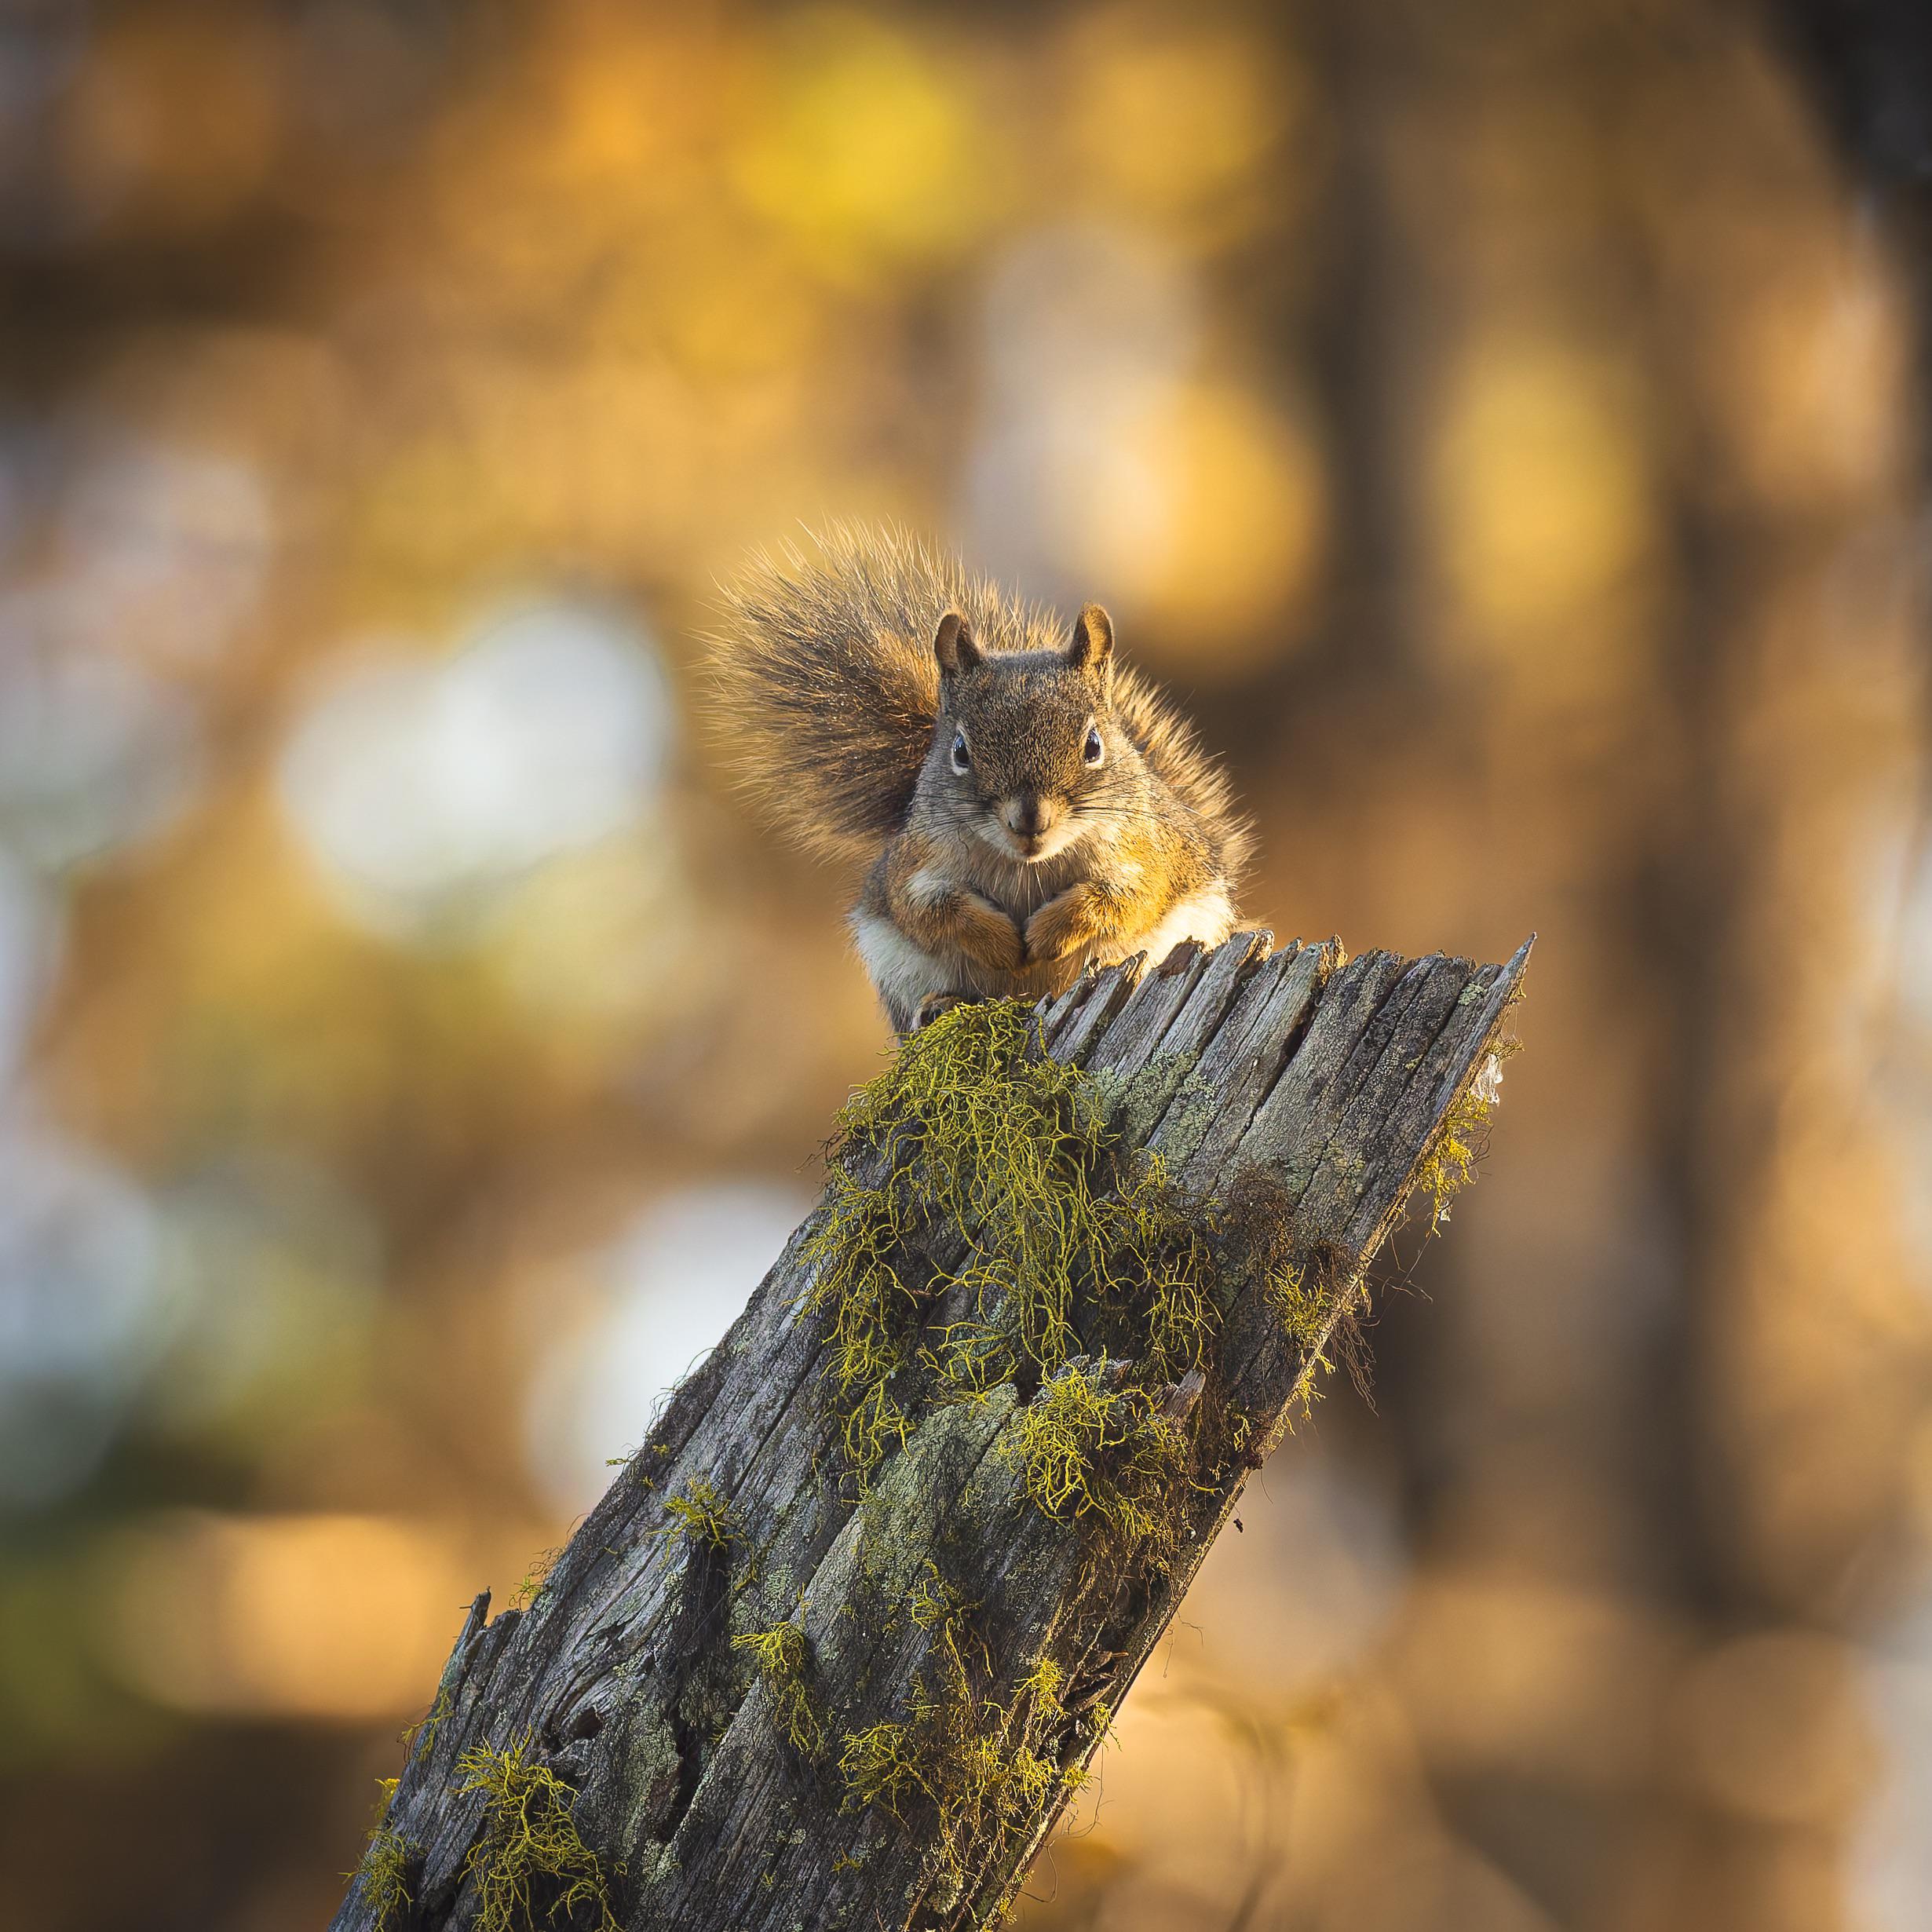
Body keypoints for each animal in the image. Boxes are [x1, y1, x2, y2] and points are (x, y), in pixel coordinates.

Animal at [706, 526, 1252, 1035]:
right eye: (960, 751)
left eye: (1093, 745)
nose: (1030, 820)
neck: (1026, 866)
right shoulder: (916, 866)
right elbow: (931, 910)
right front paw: (1003, 943)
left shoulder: (1146, 853)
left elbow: (1124, 899)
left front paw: (1046, 933)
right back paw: (941, 1002)